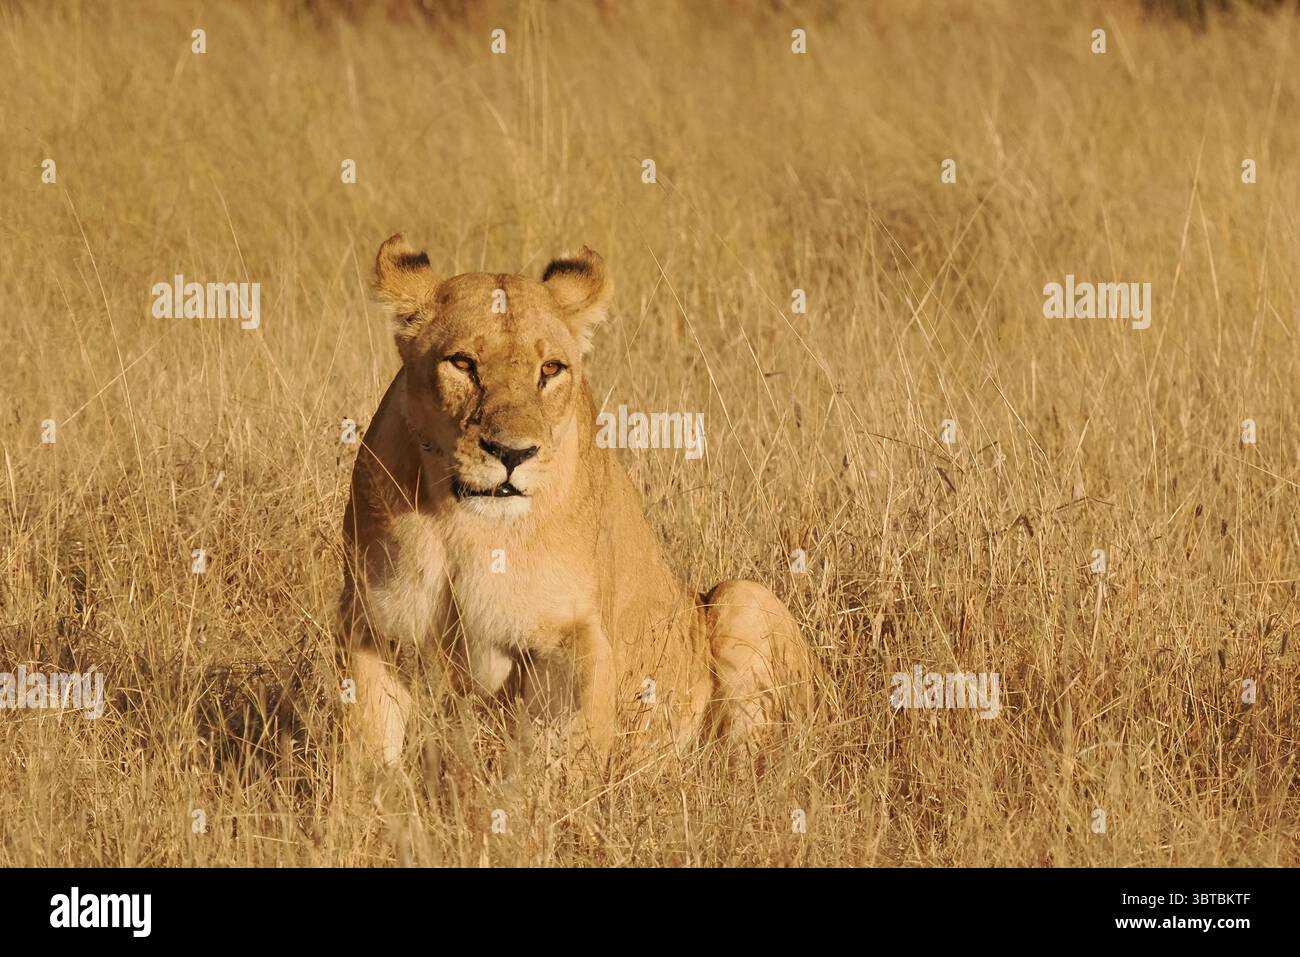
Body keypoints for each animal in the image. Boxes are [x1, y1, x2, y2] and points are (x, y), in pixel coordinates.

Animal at [338, 234, 813, 768]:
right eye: (462, 363)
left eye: (550, 369)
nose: (512, 454)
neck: (465, 526)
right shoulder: (373, 628)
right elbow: (368, 746)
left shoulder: (577, 637)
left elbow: (567, 757)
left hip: (742, 597)